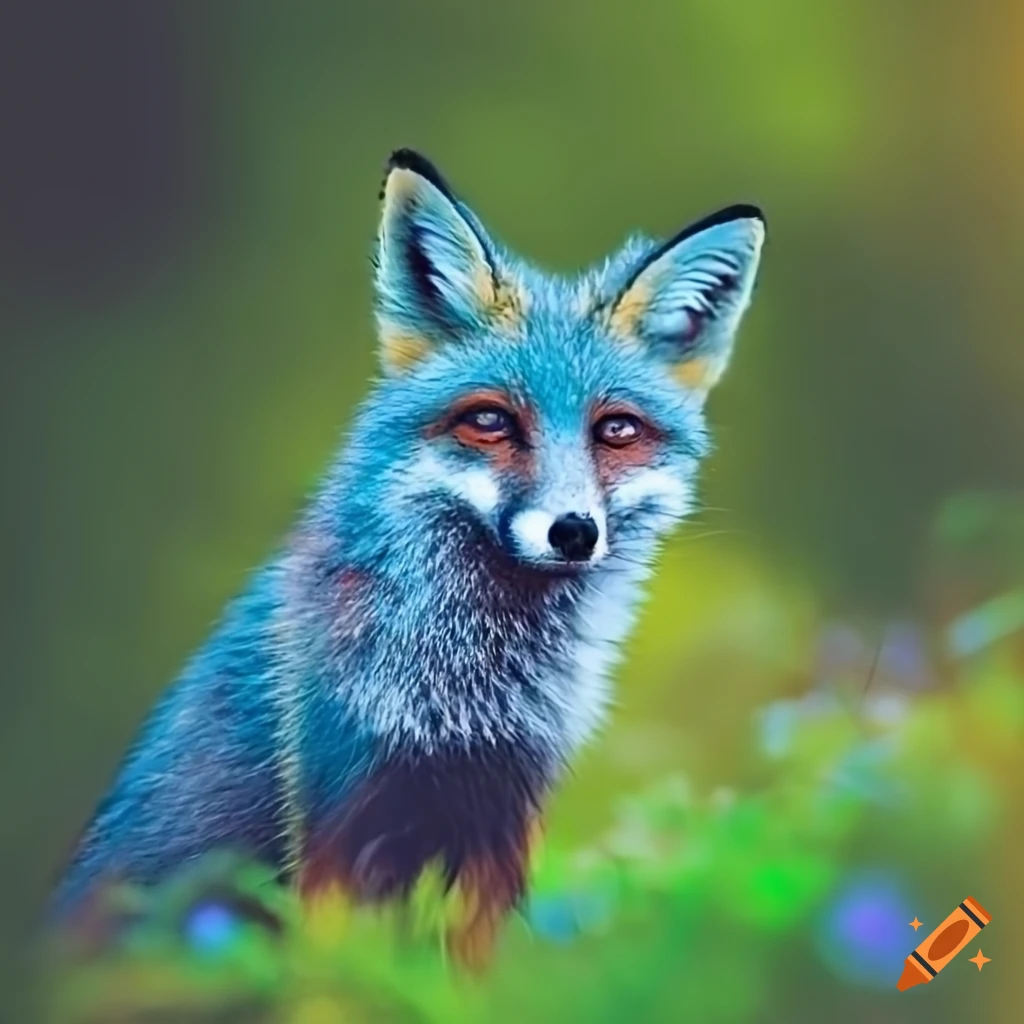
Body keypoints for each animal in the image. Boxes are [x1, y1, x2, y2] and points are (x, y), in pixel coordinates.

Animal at [50, 149, 765, 968]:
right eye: (490, 421)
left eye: (616, 430)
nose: (573, 532)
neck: (466, 697)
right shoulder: (340, 816)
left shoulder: (503, 829)